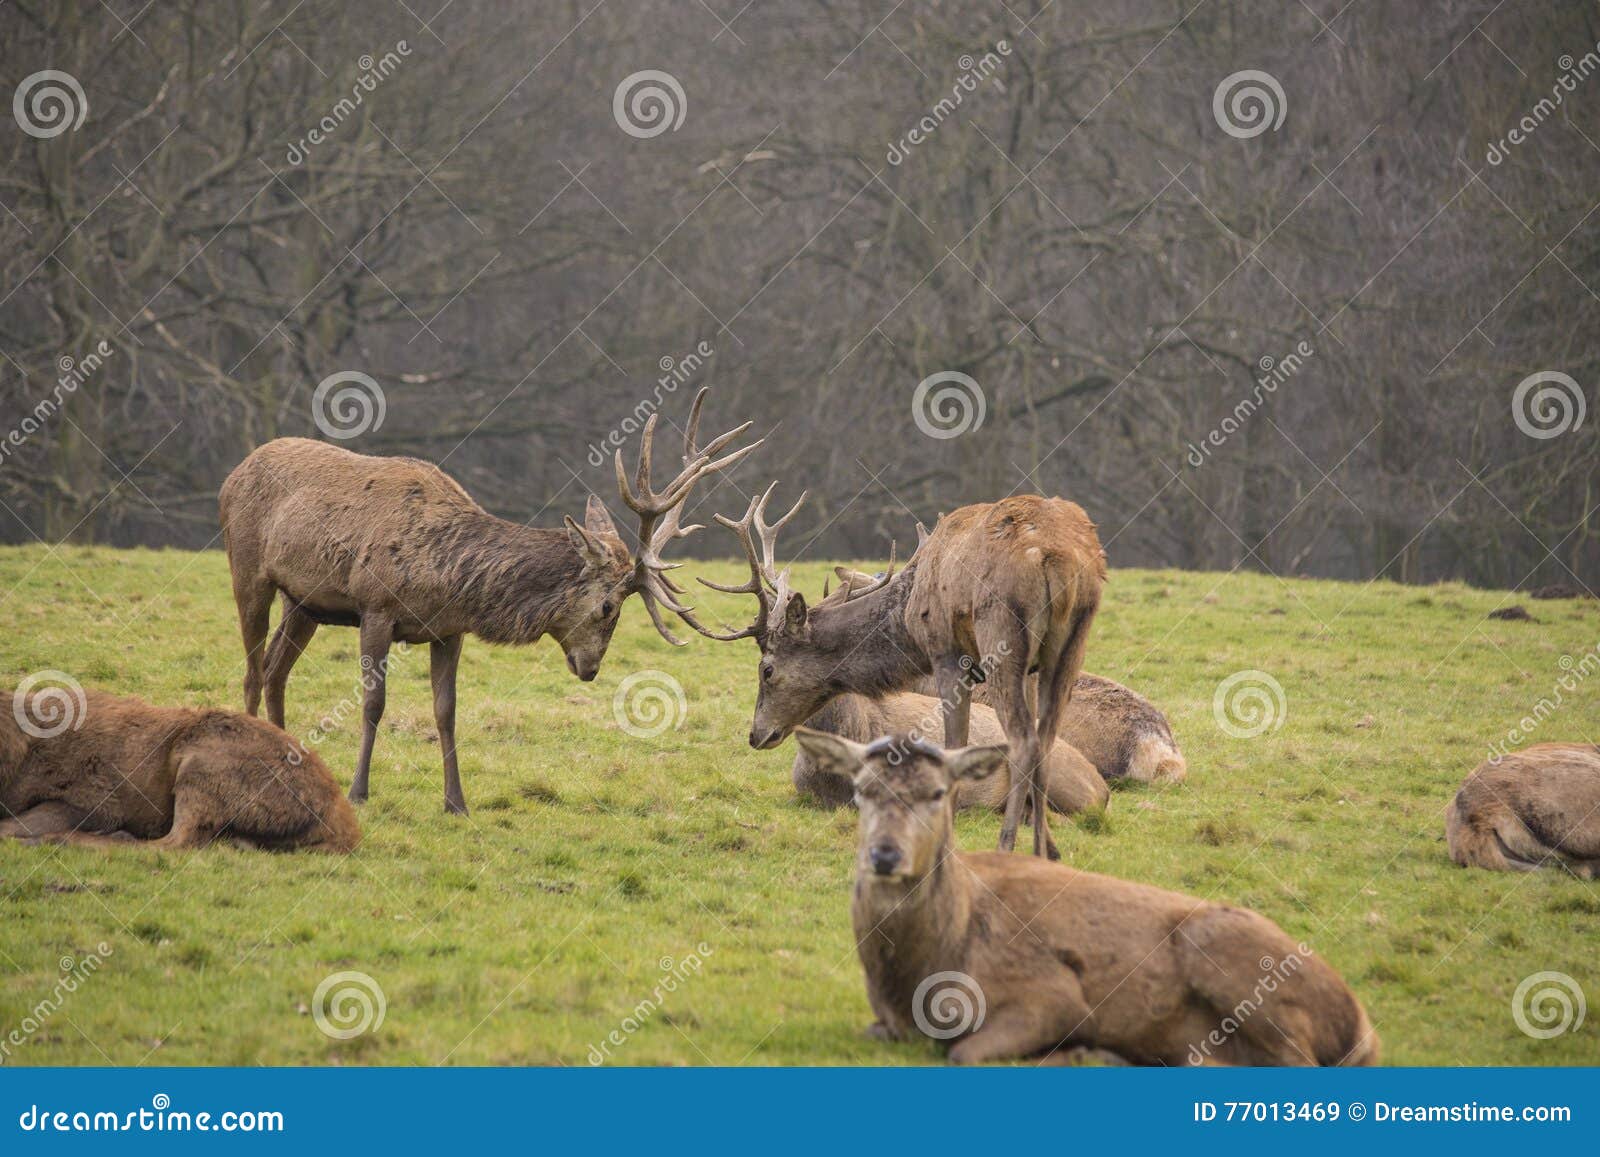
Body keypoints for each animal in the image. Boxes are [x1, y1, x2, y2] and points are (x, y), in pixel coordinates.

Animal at [219, 387, 758, 814]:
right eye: (609, 607)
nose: (590, 669)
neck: (442, 573)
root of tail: (232, 474)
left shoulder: (447, 631)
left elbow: (446, 710)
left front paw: (456, 803)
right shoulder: (376, 608)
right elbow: (374, 703)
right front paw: (358, 792)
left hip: (304, 602)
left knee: (276, 670)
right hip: (247, 569)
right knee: (252, 669)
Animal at [692, 486, 1105, 858]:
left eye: (766, 669)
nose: (756, 734)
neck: (907, 619)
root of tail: (1056, 559)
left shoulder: (946, 650)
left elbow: (955, 744)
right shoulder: (1031, 667)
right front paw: (1048, 847)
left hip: (1000, 632)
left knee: (1022, 739)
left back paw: (1005, 847)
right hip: (1074, 641)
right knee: (1045, 738)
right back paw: (1044, 850)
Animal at [794, 728, 1379, 1066]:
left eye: (939, 792)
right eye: (862, 789)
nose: (885, 855)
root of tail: (1361, 1025)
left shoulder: (1051, 993)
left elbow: (963, 1053)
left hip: (1232, 958)